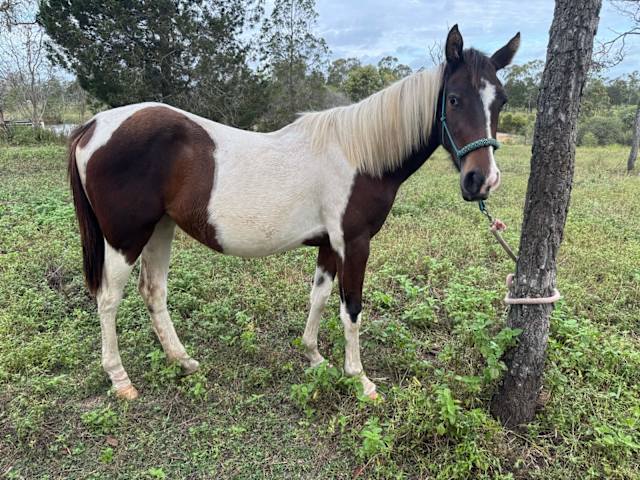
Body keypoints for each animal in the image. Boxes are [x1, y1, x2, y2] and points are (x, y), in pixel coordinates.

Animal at [67, 25, 519, 400]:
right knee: (108, 298)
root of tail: (93, 125)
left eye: (501, 101)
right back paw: (121, 380)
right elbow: (351, 309)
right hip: (125, 238)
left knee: (153, 291)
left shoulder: (329, 244)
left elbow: (319, 297)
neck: (359, 155)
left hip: (160, 229)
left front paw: (314, 356)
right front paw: (360, 379)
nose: (482, 180)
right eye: (455, 99)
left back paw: (182, 360)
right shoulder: (354, 243)